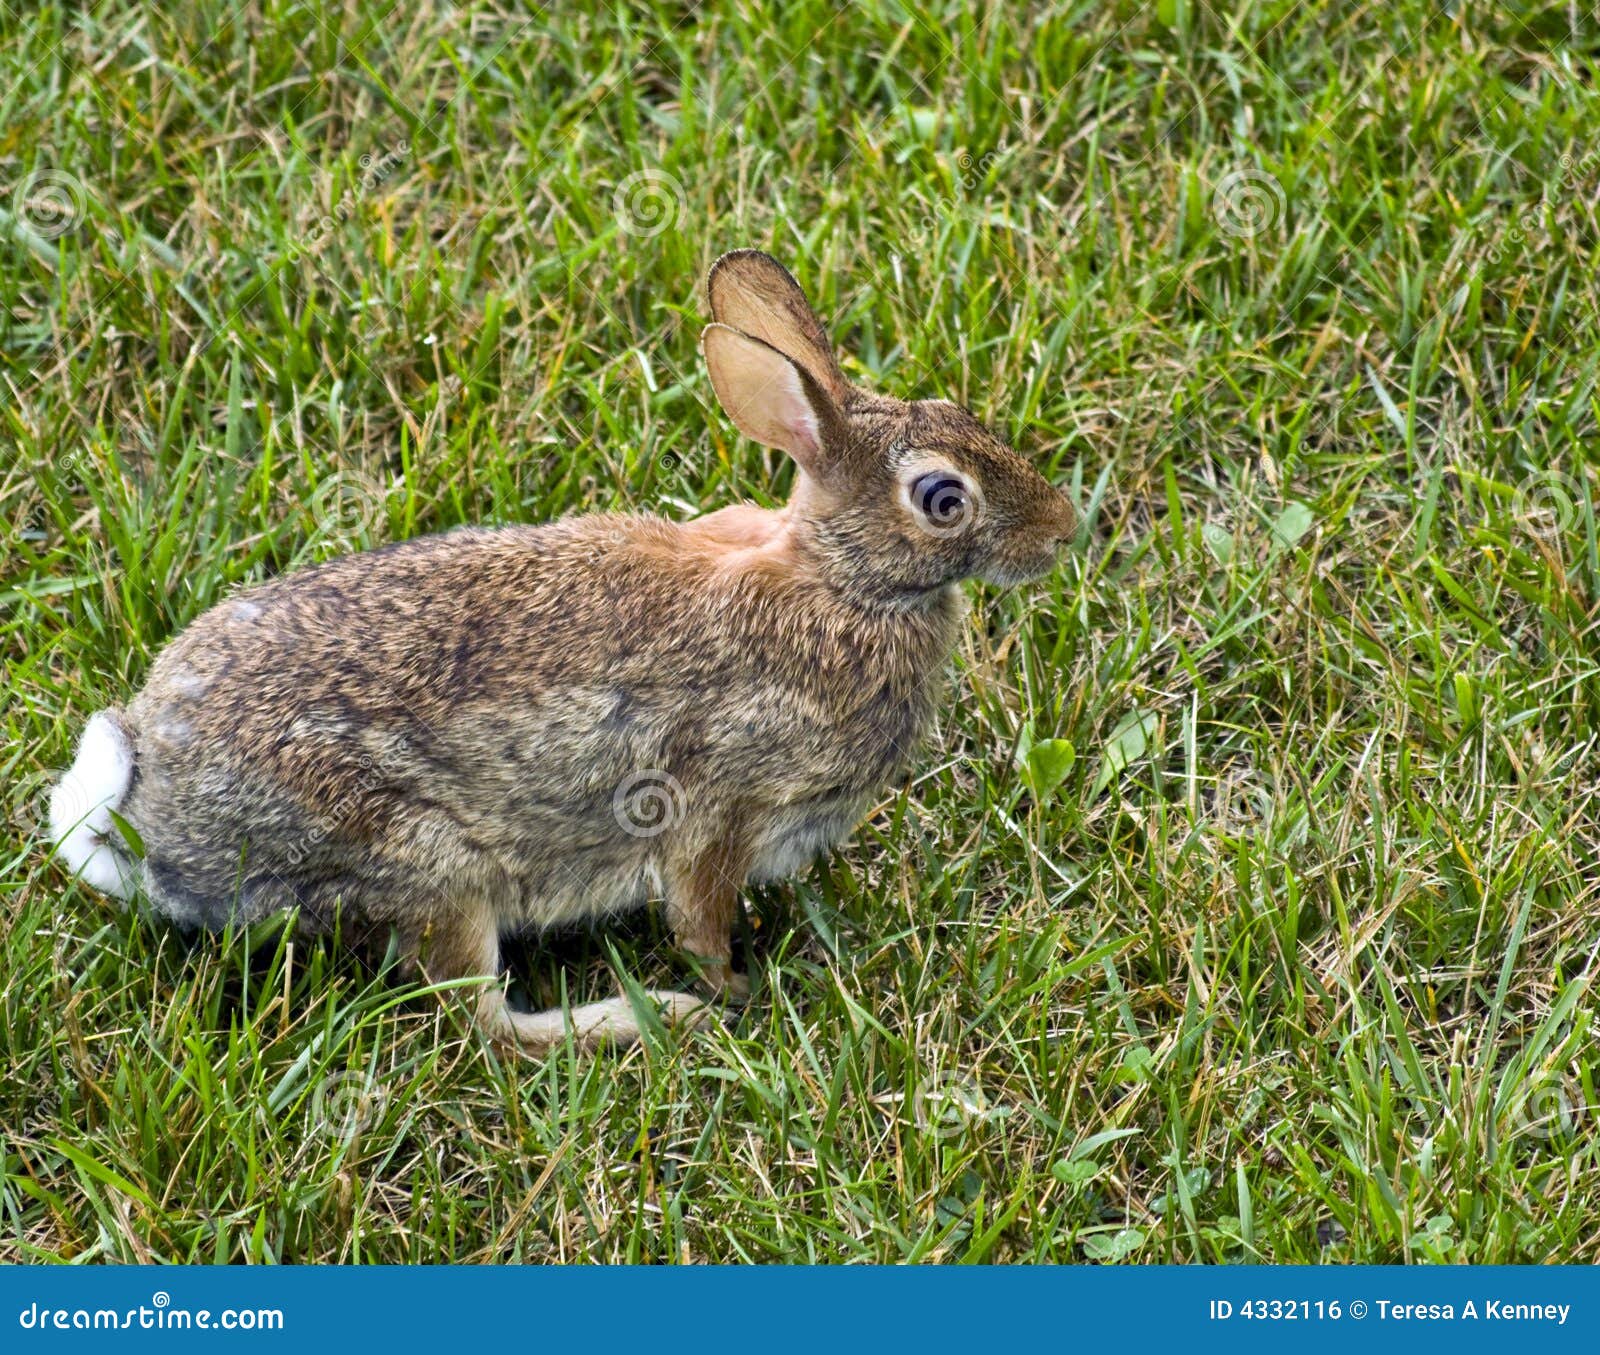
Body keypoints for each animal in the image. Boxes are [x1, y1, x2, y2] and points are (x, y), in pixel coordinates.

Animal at [49, 249, 1077, 1054]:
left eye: (953, 406)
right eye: (943, 499)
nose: (1065, 530)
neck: (839, 581)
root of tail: (158, 832)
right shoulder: (715, 804)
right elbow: (700, 914)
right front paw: (734, 993)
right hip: (427, 860)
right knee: (481, 1025)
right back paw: (642, 1018)